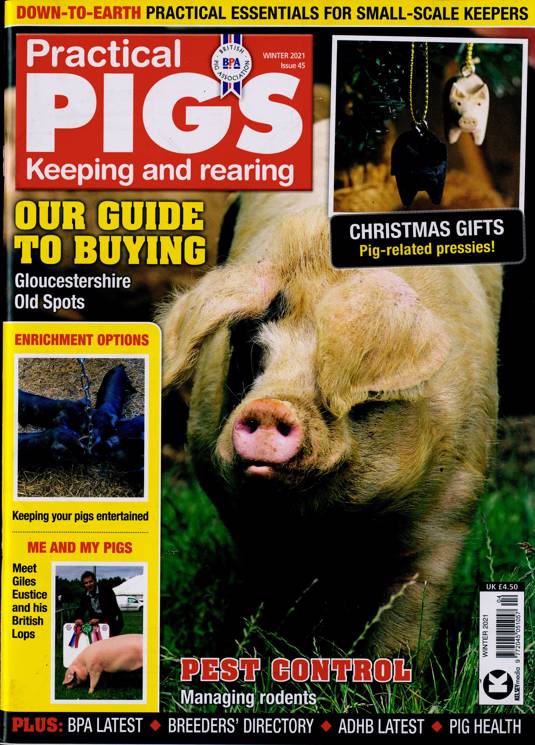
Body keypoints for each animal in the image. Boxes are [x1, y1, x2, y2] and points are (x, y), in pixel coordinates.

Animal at [160, 119, 502, 658]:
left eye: (343, 373)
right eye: (254, 354)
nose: (270, 405)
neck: (332, 524)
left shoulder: (449, 510)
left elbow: (406, 628)